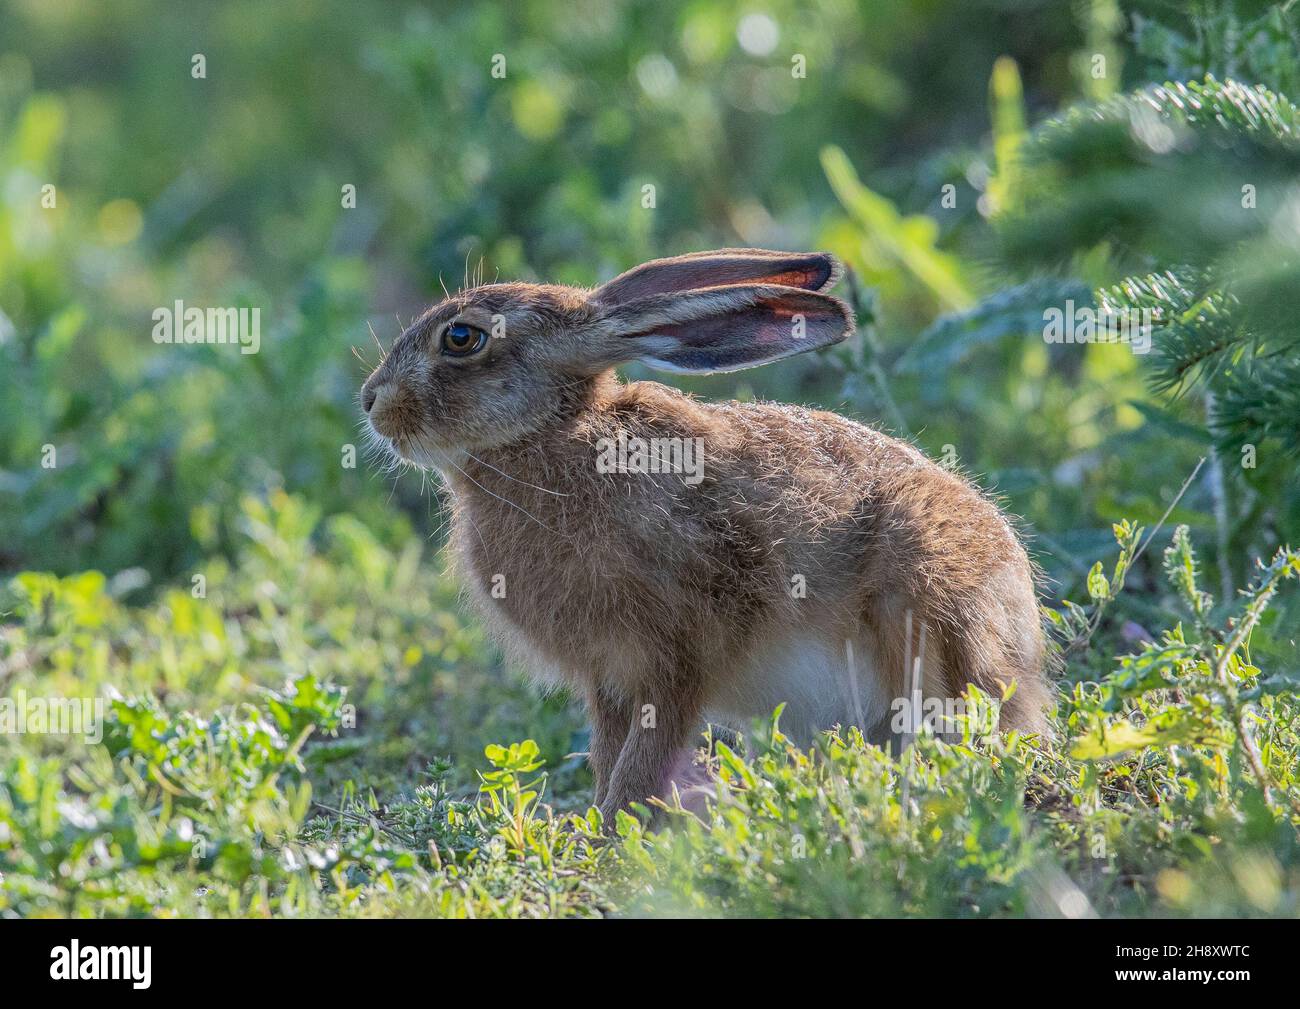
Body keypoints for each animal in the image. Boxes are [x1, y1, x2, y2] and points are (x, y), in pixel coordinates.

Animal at [360, 249, 1052, 825]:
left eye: (462, 338)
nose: (370, 402)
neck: (552, 438)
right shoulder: (610, 678)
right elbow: (609, 751)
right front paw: (598, 824)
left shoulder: (679, 654)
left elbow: (643, 759)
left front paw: (611, 832)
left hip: (925, 591)